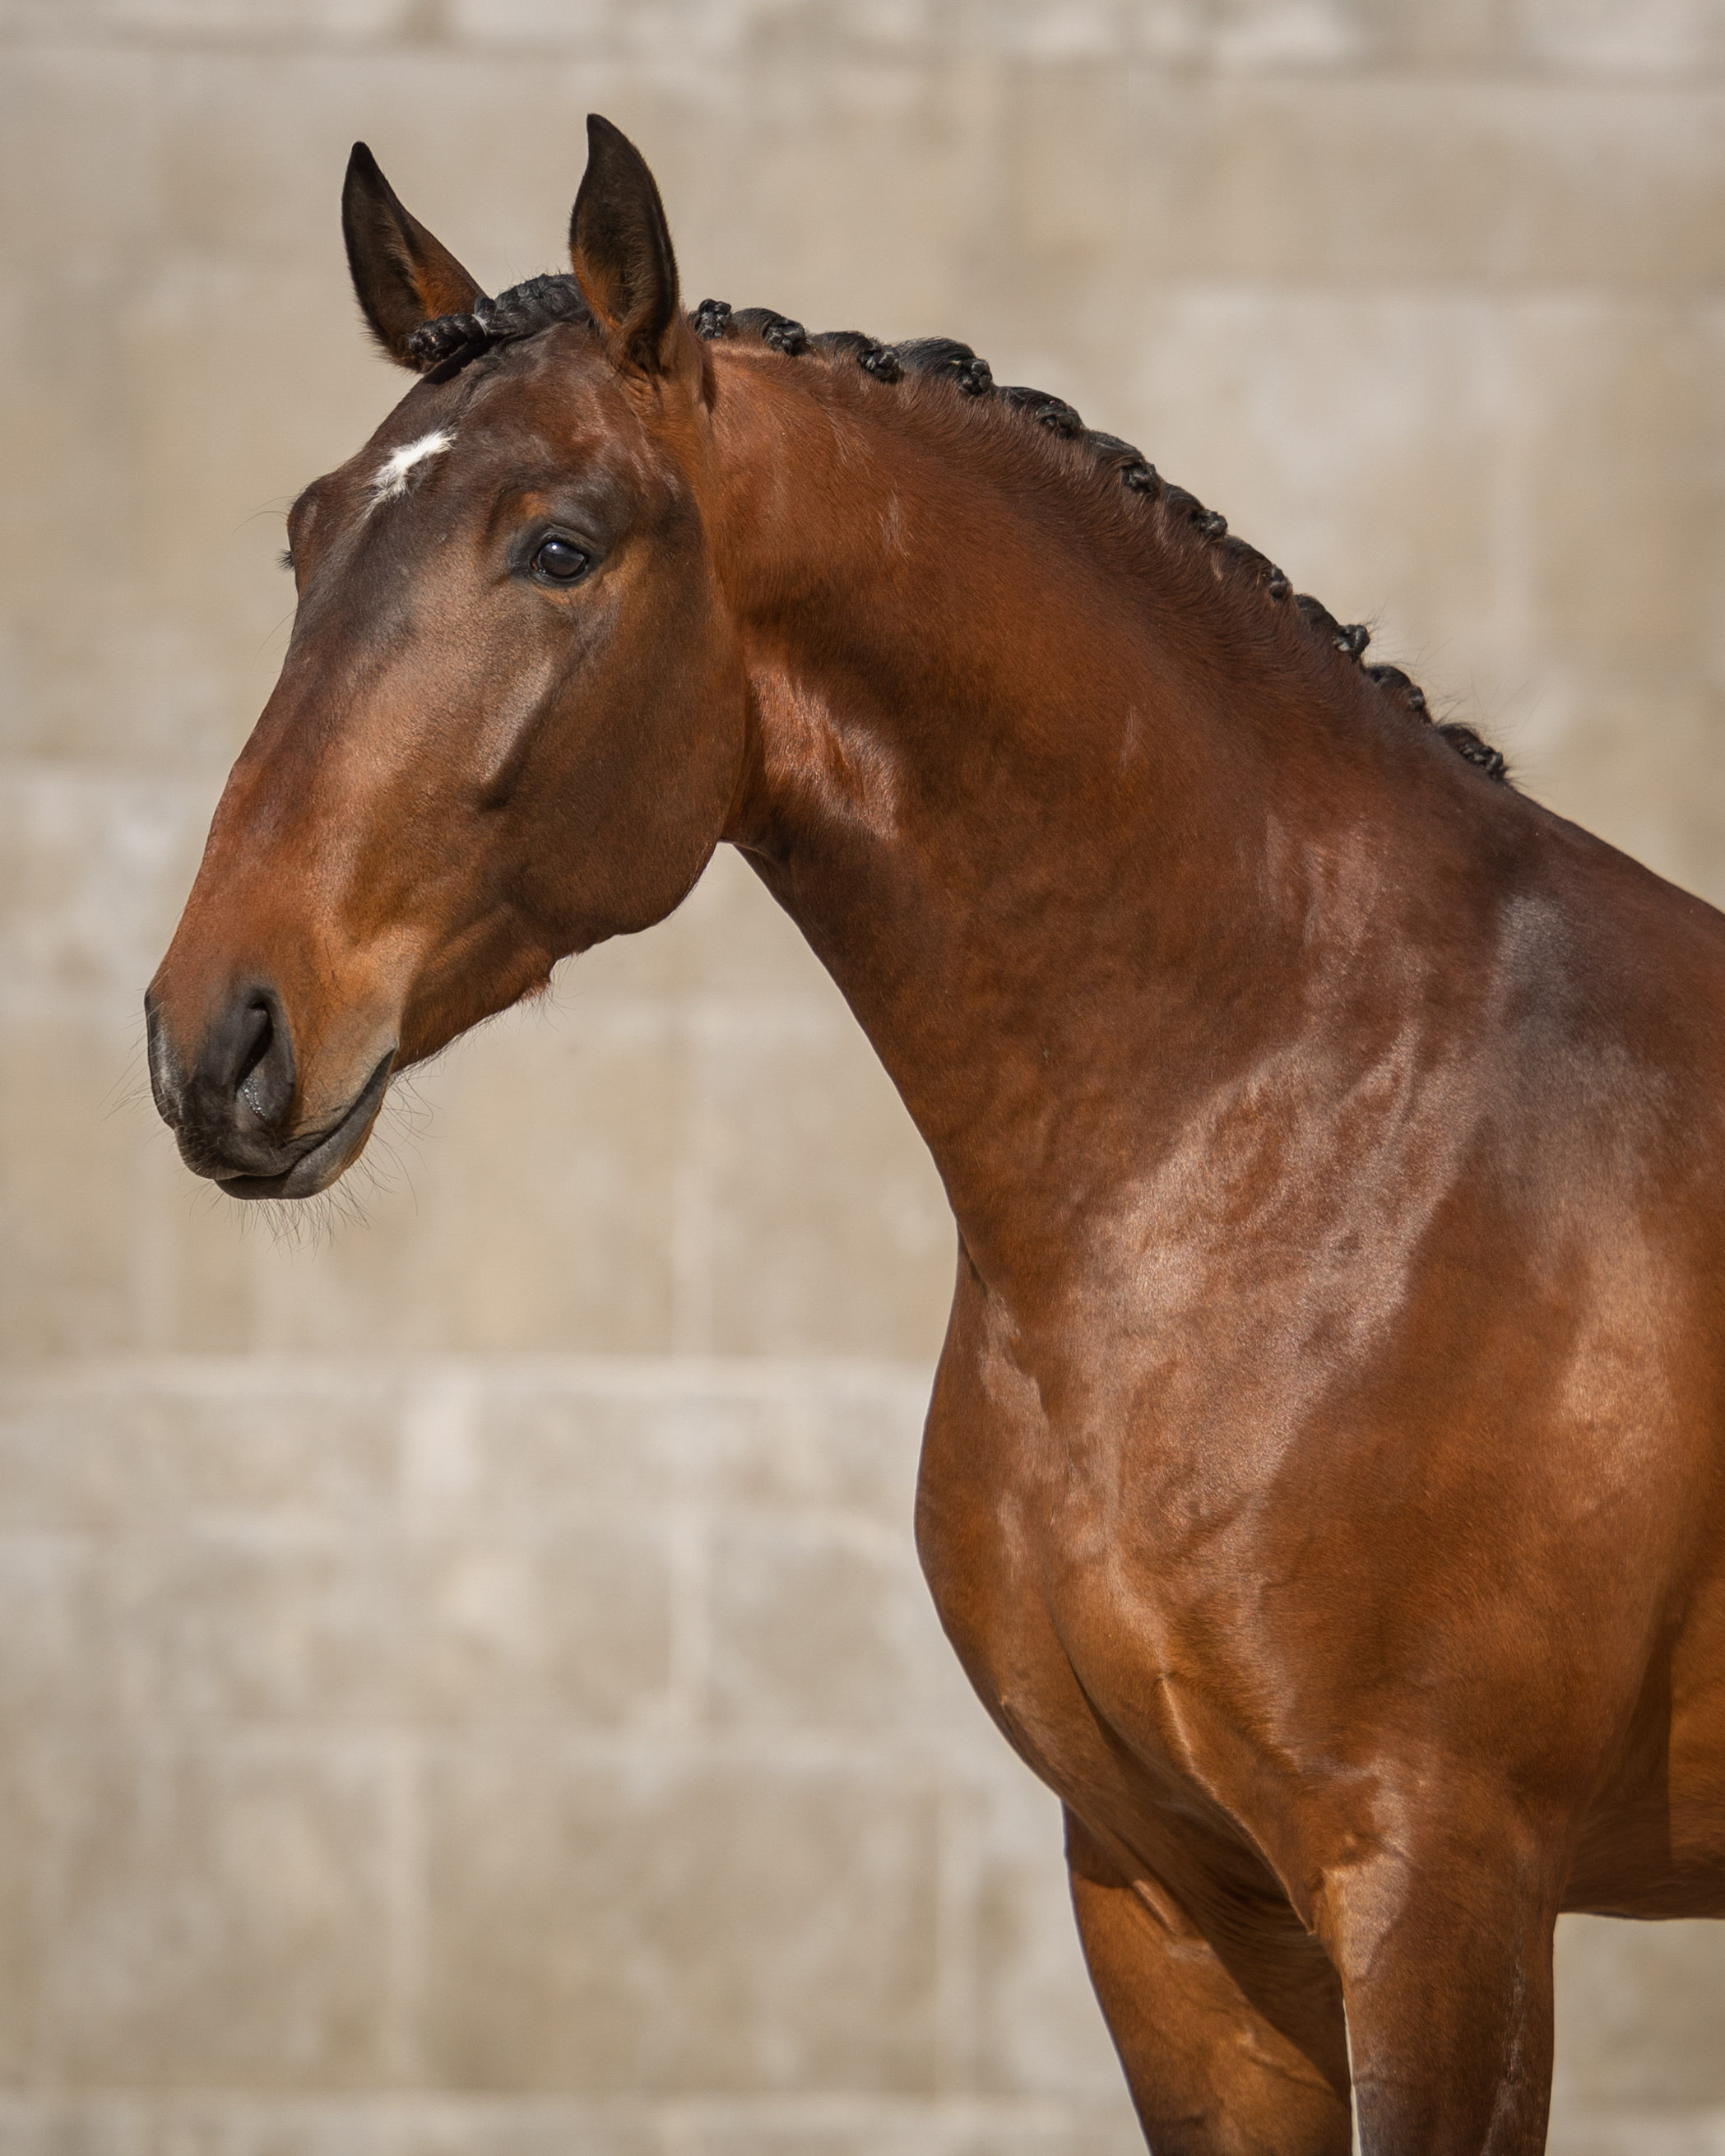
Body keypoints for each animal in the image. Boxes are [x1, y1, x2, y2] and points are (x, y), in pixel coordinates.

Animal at [144, 115, 1725, 2154]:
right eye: (305, 533)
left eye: (560, 545)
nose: (218, 1036)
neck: (1308, 1132)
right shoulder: (1166, 1895)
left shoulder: (1443, 1892)